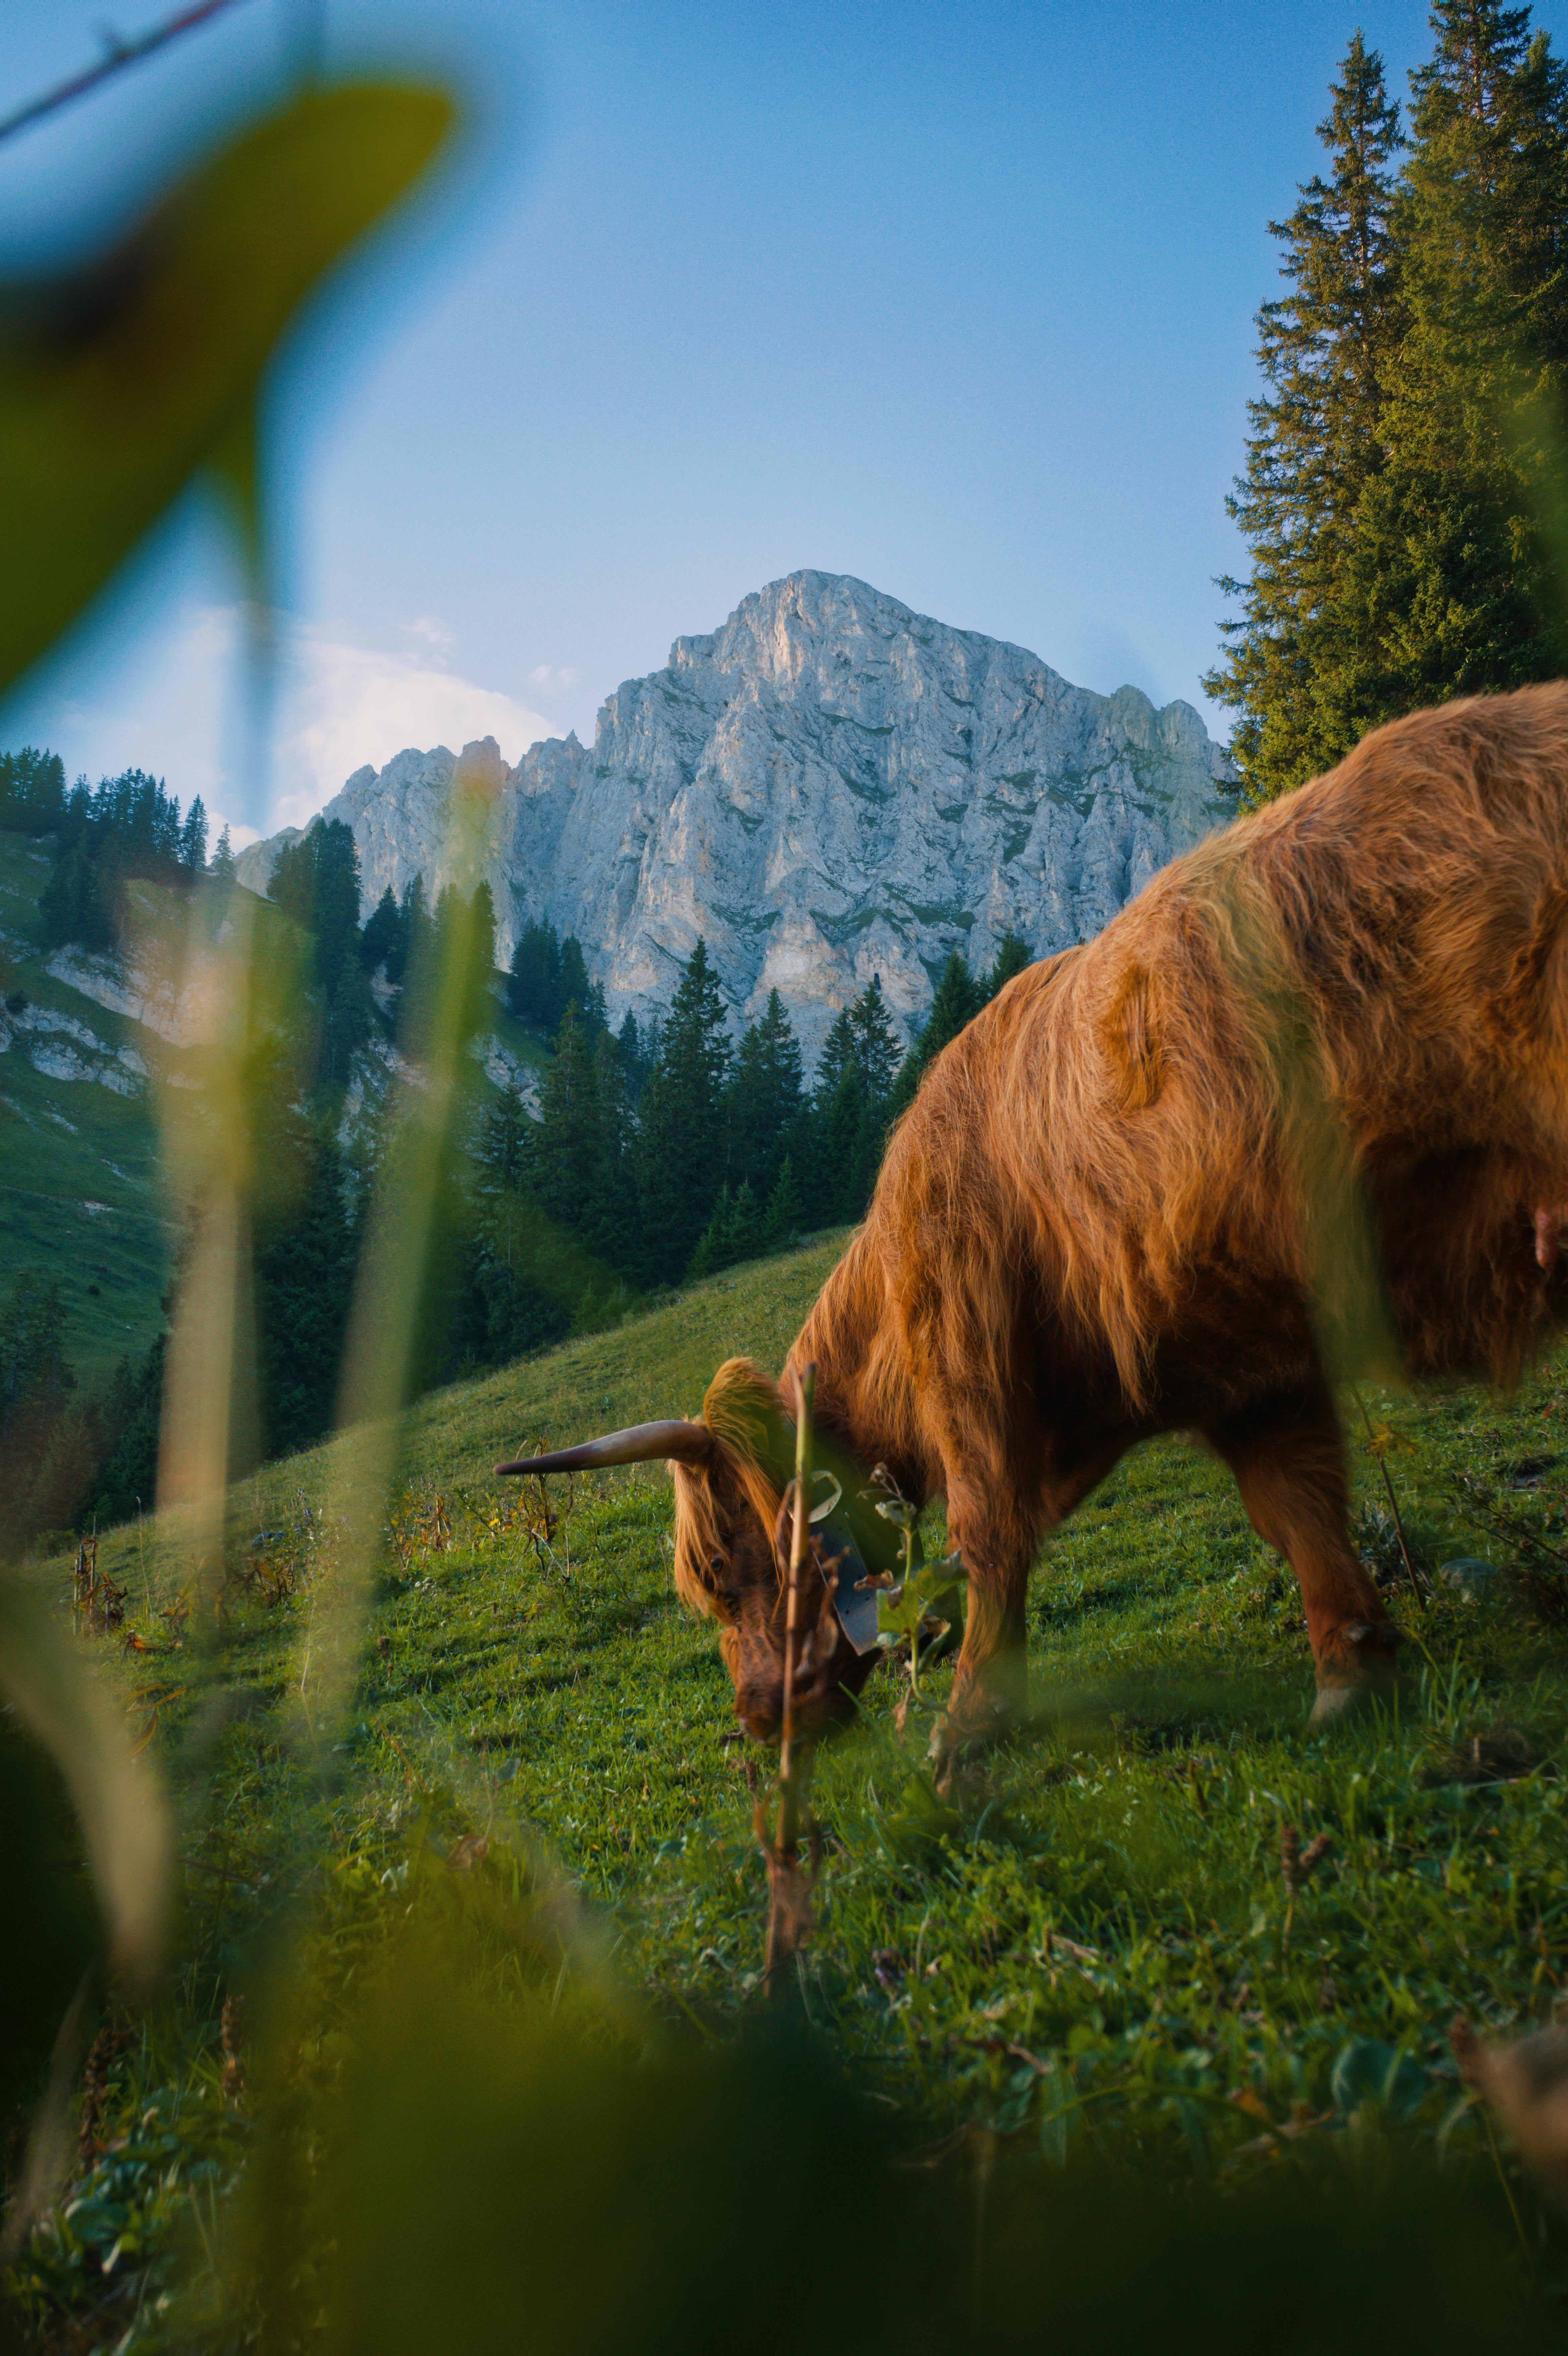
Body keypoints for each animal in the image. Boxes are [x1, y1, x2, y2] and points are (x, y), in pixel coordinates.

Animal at [499, 685, 1568, 1766]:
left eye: (721, 1568)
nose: (757, 1717)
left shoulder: (970, 1353)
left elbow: (987, 1539)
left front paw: (964, 1729)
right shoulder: (1250, 1363)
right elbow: (1300, 1510)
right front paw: (1350, 1675)